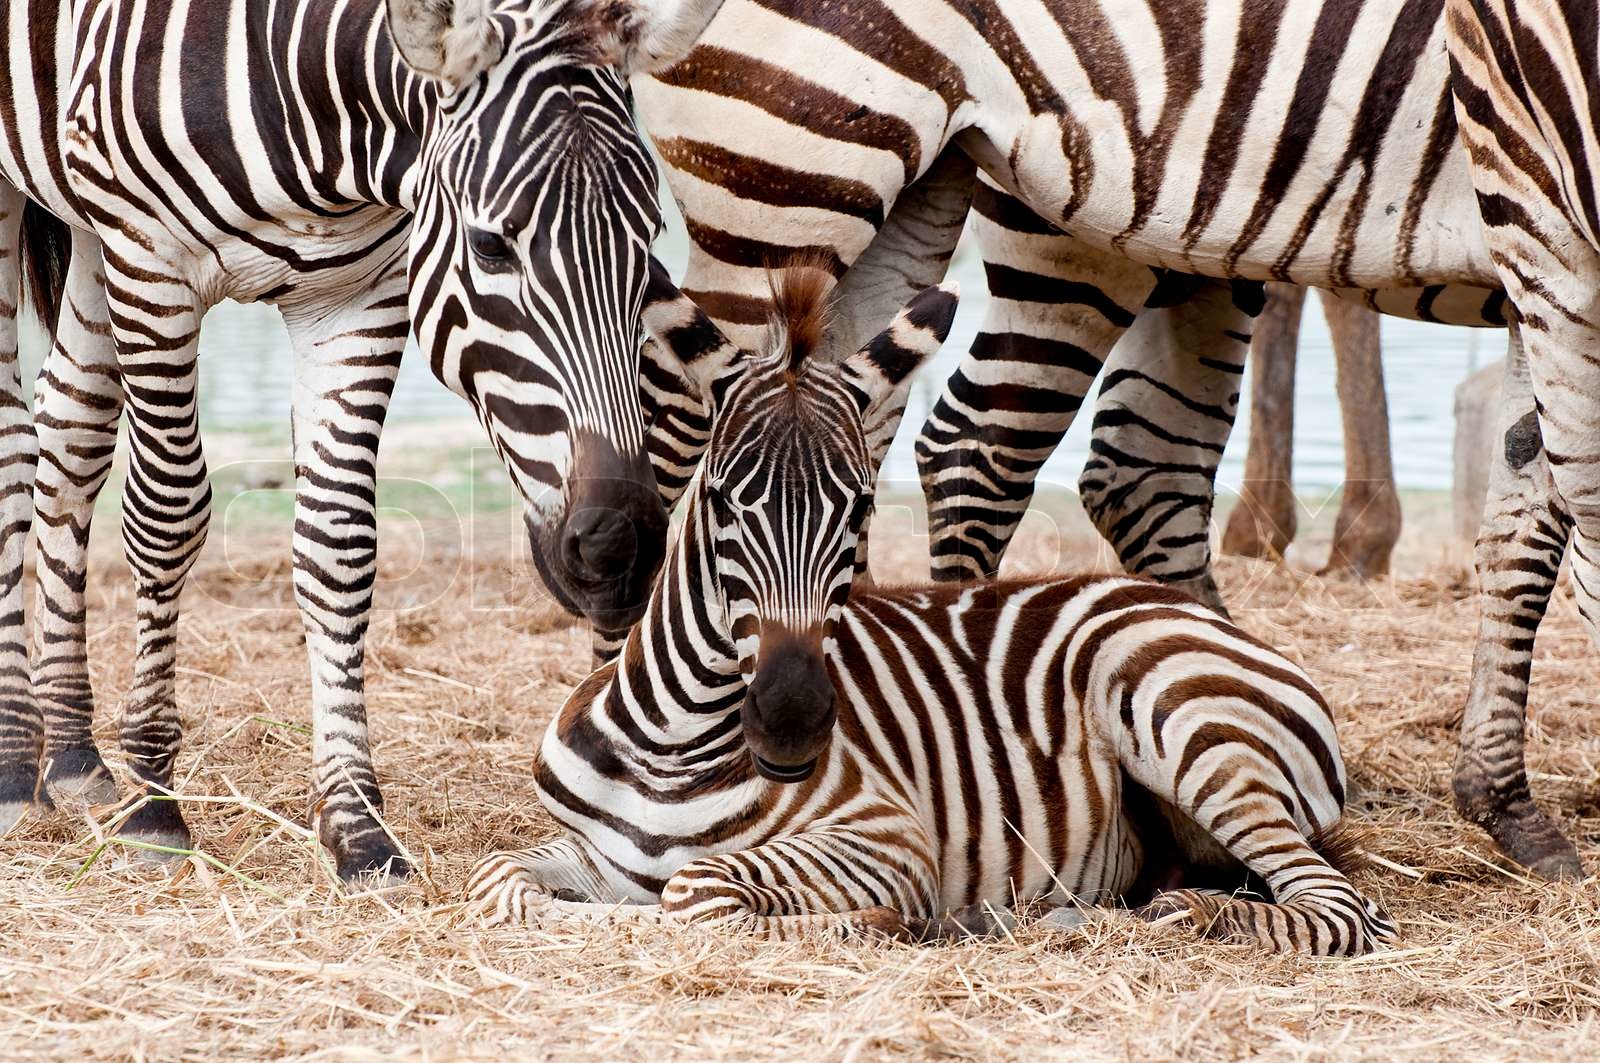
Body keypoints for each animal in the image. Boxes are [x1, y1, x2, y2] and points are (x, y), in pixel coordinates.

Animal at [0, 0, 724, 881]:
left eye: (649, 241)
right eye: (491, 246)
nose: (620, 545)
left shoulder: (357, 291)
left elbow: (337, 547)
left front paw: (355, 823)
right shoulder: (153, 260)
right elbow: (167, 516)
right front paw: (155, 807)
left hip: (84, 218)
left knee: (70, 422)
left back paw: (72, 755)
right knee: (14, 441)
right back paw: (15, 764)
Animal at [466, 262, 1397, 956]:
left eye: (858, 508)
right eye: (725, 500)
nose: (794, 720)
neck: (670, 747)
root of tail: (1198, 614)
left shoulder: (887, 836)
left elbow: (695, 891)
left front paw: (879, 923)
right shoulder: (582, 850)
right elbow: (500, 884)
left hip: (1183, 719)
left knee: (1342, 908)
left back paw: (1182, 917)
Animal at [632, 0, 1592, 879]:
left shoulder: (1535, 237)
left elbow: (1524, 522)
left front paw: (1507, 804)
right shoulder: (1546, 204)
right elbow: (1574, 506)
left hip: (971, 197)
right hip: (801, 161)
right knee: (705, 427)